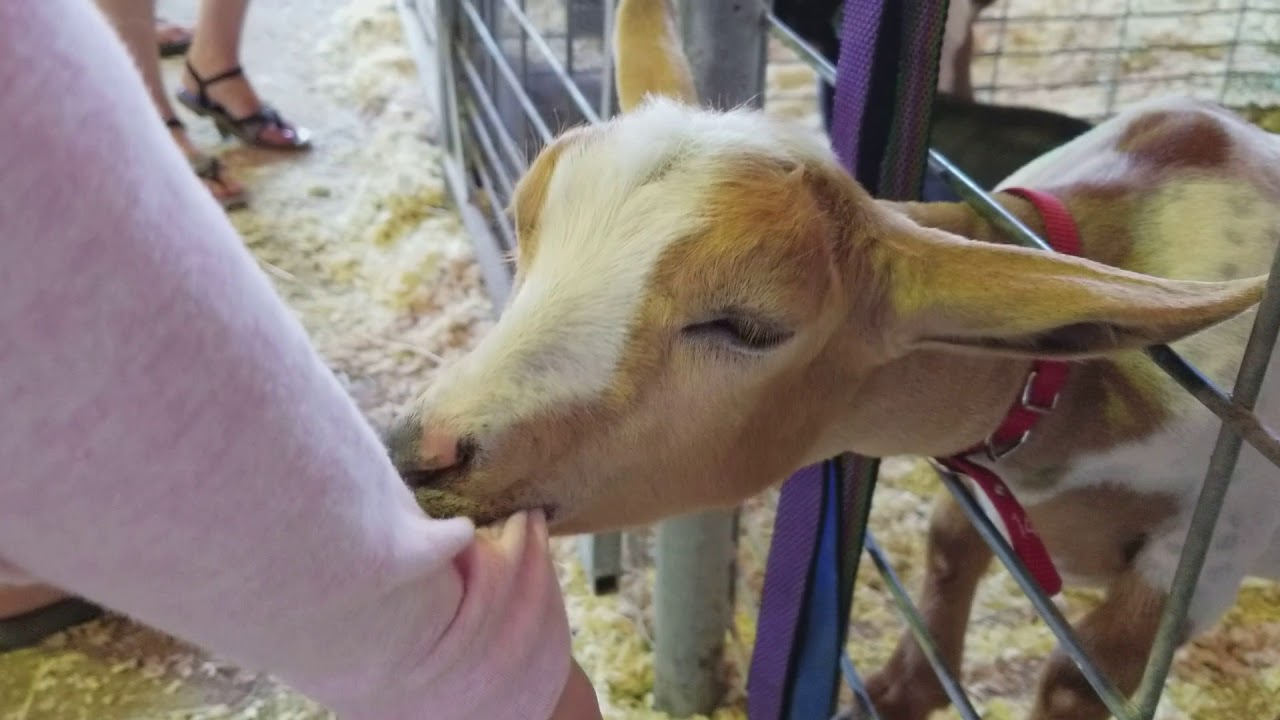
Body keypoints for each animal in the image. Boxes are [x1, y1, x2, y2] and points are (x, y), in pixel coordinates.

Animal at [384, 0, 1280, 717]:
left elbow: (1073, 680)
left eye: (749, 325)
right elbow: (944, 568)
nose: (417, 453)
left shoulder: (1209, 550)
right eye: (524, 226)